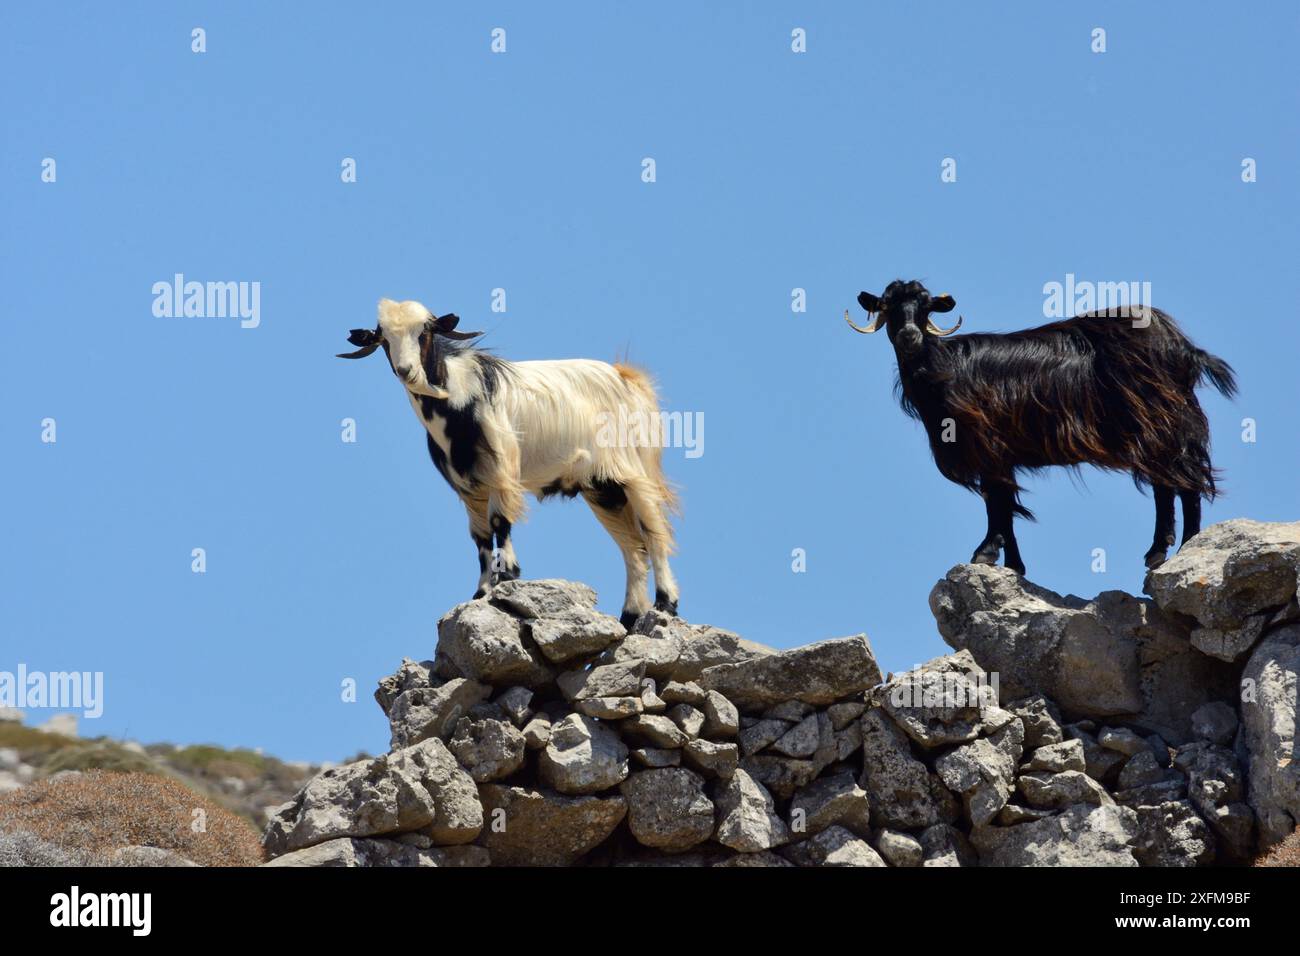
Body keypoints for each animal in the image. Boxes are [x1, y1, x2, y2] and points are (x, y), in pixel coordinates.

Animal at [339, 298, 681, 626]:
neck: (459, 402)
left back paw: (665, 604)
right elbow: (479, 538)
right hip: (602, 490)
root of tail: (627, 377)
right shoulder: (469, 488)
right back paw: (630, 617)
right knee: (632, 549)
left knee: (654, 534)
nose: (406, 370)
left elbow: (499, 523)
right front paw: (481, 591)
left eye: (424, 331)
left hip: (634, 475)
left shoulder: (502, 474)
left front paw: (506, 576)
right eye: (384, 339)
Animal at [846, 280, 1237, 574]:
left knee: (1184, 481)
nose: (909, 337)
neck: (942, 368)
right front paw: (1013, 566)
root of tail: (1183, 348)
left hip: (1162, 423)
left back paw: (1186, 547)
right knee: (1166, 483)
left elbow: (998, 504)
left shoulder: (989, 448)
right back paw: (1161, 551)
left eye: (926, 305)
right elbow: (1004, 508)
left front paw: (985, 554)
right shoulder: (999, 456)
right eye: (887, 305)